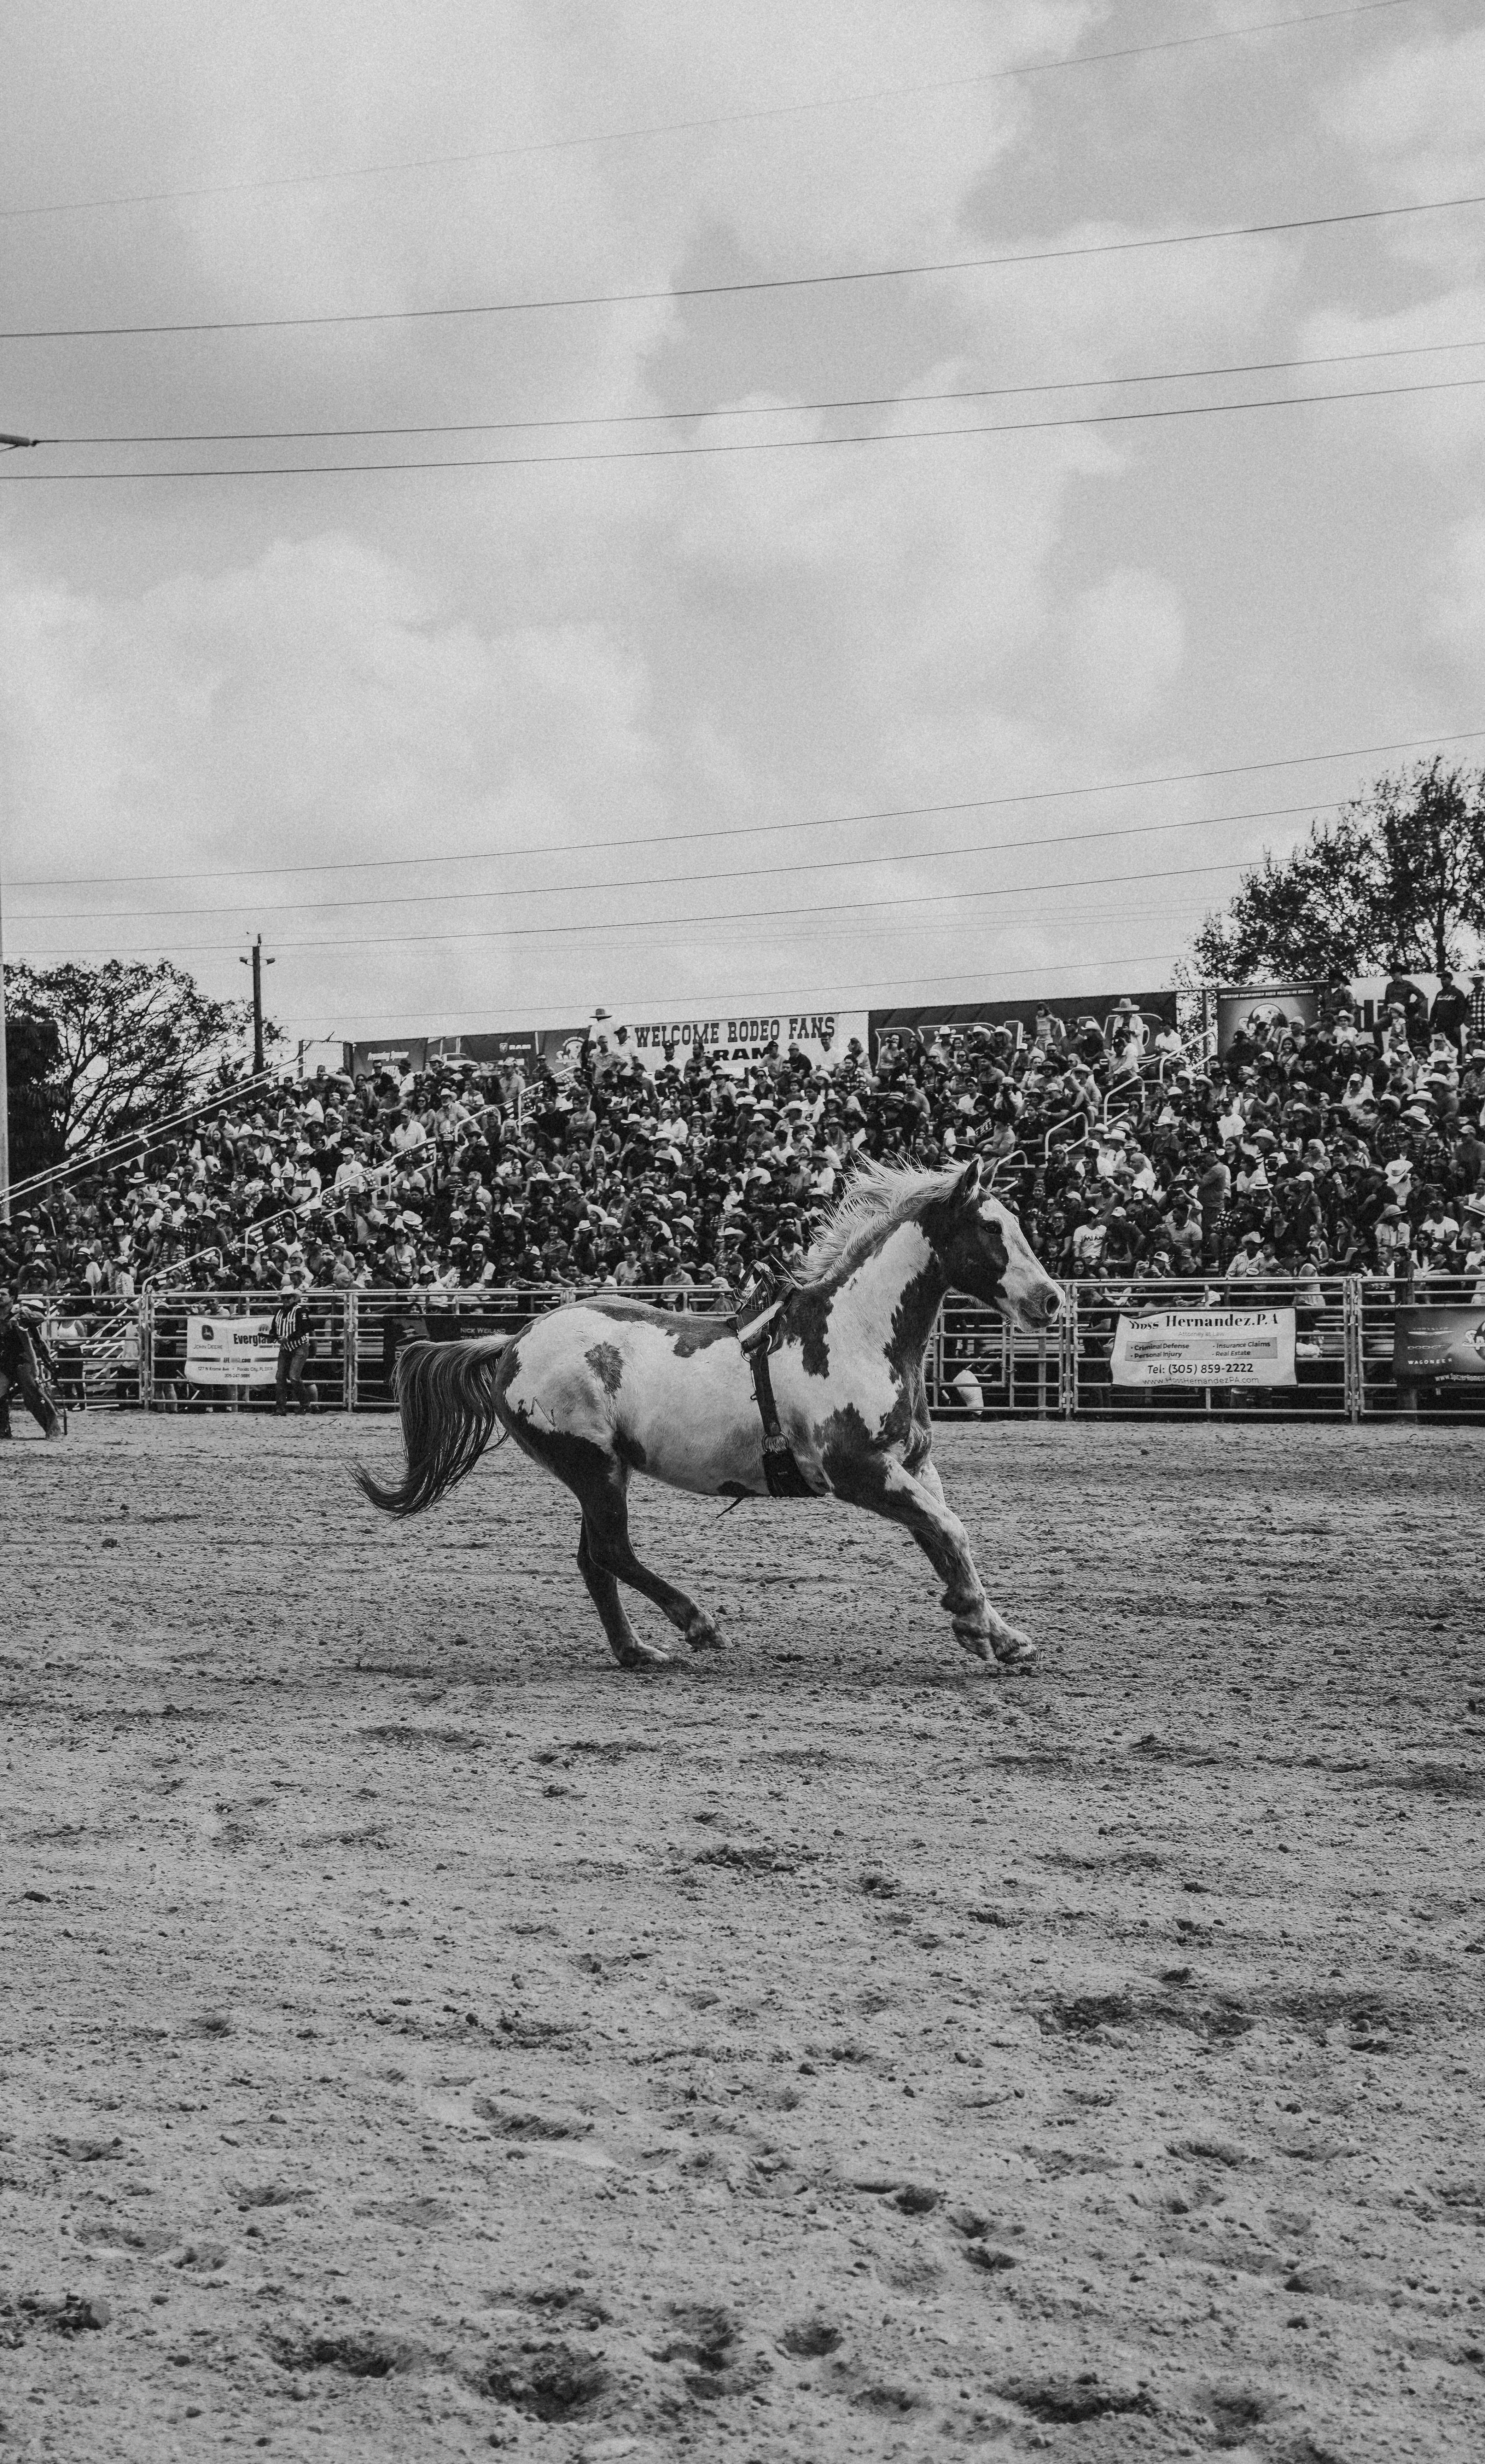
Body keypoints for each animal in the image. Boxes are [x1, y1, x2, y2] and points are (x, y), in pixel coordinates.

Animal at [357, 1155, 1062, 1670]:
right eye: (991, 1229)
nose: (1052, 1300)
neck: (856, 1333)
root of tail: (512, 1342)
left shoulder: (910, 1465)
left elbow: (945, 1535)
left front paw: (993, 1631)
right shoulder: (857, 1471)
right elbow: (950, 1531)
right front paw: (980, 1624)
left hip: (603, 1471)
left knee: (594, 1559)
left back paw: (637, 1651)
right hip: (591, 1465)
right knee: (612, 1550)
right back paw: (696, 1624)